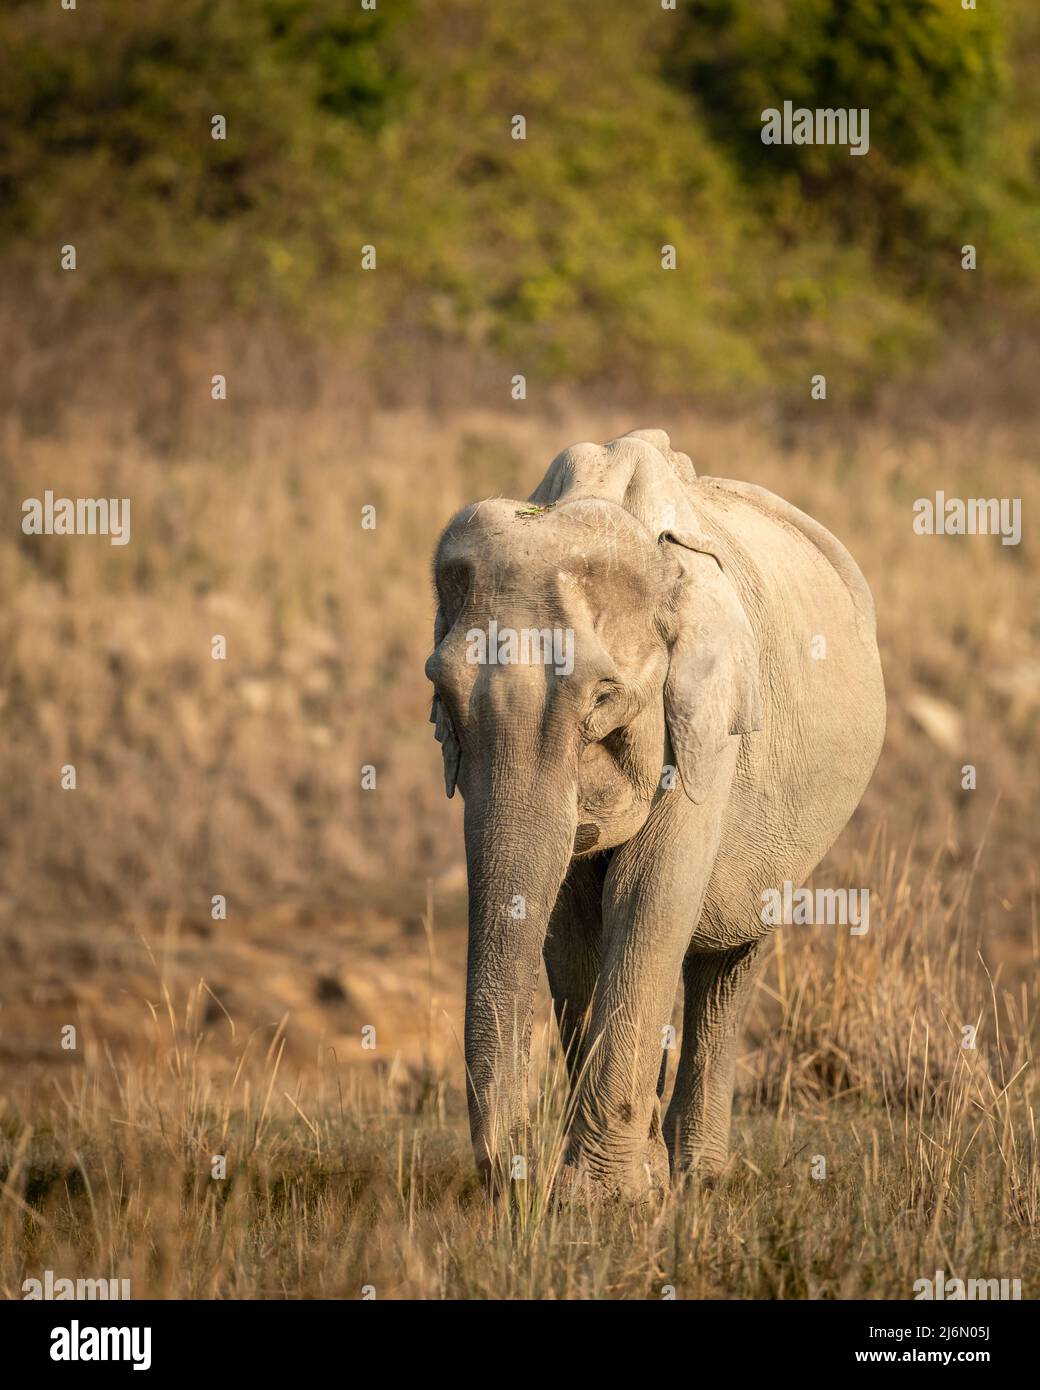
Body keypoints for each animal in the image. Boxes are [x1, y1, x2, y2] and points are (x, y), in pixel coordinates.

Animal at [425, 428, 885, 1200]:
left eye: (604, 700)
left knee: (730, 960)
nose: (516, 1179)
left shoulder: (707, 726)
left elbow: (648, 895)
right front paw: (625, 1188)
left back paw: (701, 1178)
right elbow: (571, 922)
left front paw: (605, 1200)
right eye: (444, 697)